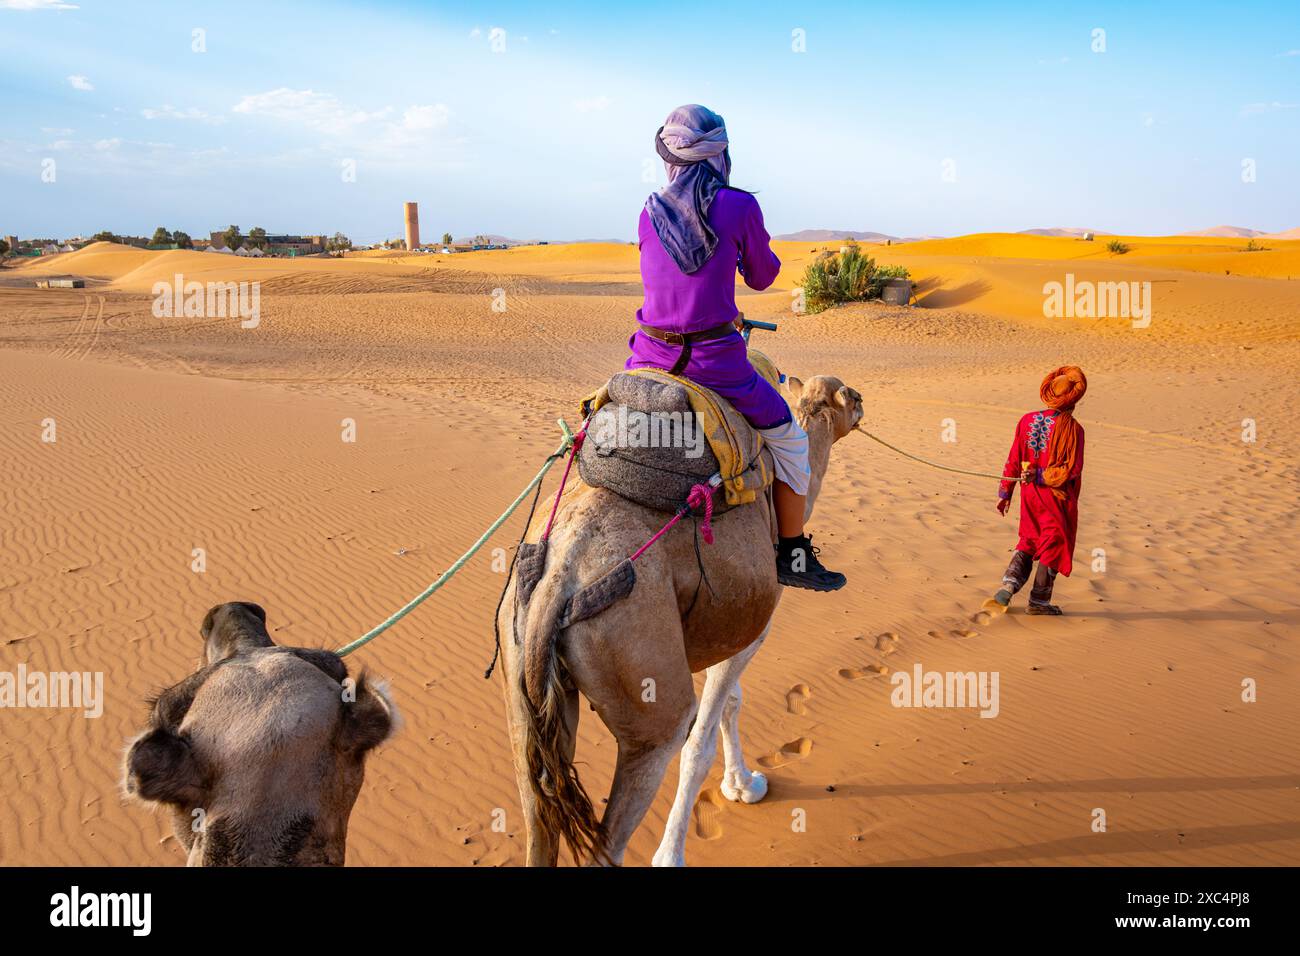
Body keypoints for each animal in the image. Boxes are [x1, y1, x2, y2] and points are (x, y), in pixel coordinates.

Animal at [497, 374, 863, 865]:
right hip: (646, 691)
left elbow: (731, 702)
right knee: (651, 765)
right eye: (849, 397)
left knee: (538, 815)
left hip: (524, 689)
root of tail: (559, 581)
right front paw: (681, 843)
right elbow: (702, 740)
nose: (862, 403)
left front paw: (740, 784)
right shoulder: (753, 631)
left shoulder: (717, 630)